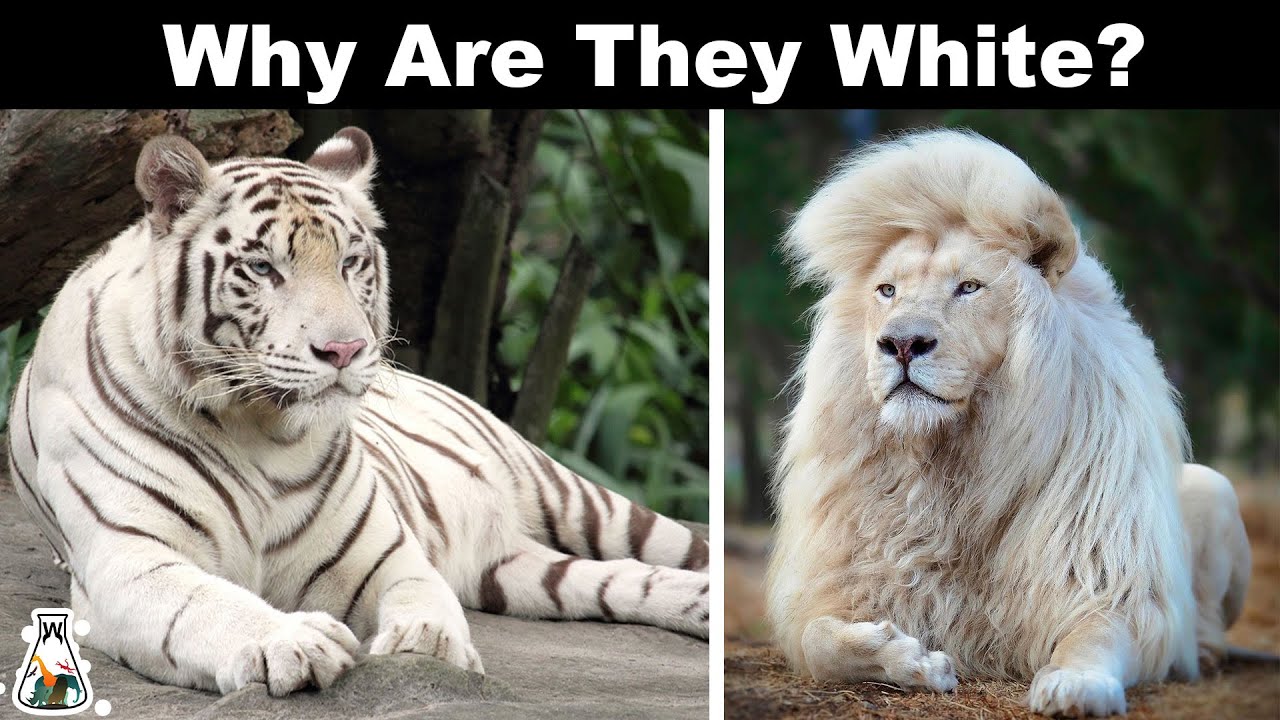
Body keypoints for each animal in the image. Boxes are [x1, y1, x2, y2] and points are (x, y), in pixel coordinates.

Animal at [5, 127, 710, 696]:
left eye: (350, 262)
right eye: (262, 268)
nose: (344, 350)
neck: (256, 428)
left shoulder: (380, 552)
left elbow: (421, 594)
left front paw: (429, 646)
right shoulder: (130, 560)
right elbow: (208, 605)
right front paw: (291, 642)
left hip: (577, 498)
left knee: (676, 546)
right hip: (515, 572)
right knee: (612, 579)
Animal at [764, 129, 1253, 717]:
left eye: (969, 288)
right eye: (887, 291)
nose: (901, 343)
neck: (950, 467)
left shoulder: (1113, 584)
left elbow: (1096, 634)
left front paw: (1075, 685)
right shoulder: (846, 581)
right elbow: (818, 641)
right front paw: (910, 660)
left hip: (1214, 487)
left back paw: (1203, 654)